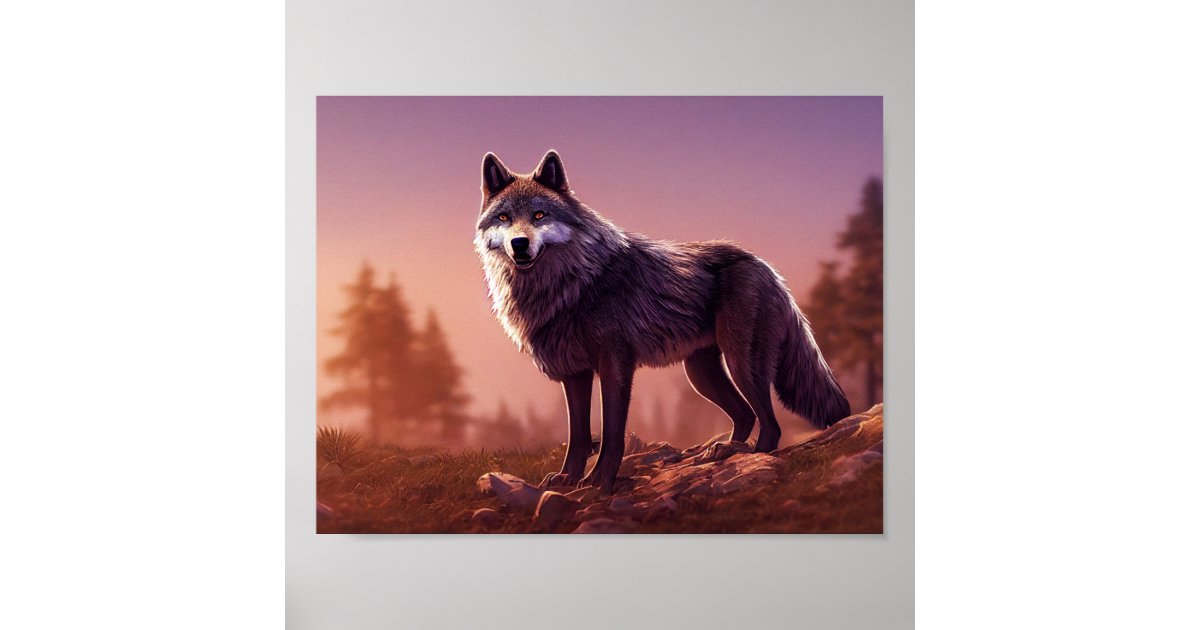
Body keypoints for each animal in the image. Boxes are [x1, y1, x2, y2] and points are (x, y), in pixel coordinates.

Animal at [474, 150, 851, 492]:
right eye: (505, 218)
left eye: (539, 215)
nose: (519, 244)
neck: (570, 285)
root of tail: (766, 267)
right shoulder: (574, 373)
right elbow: (578, 435)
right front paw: (568, 478)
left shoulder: (615, 364)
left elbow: (611, 432)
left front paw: (600, 481)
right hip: (700, 374)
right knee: (745, 414)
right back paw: (721, 452)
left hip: (741, 364)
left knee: (771, 424)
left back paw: (751, 458)